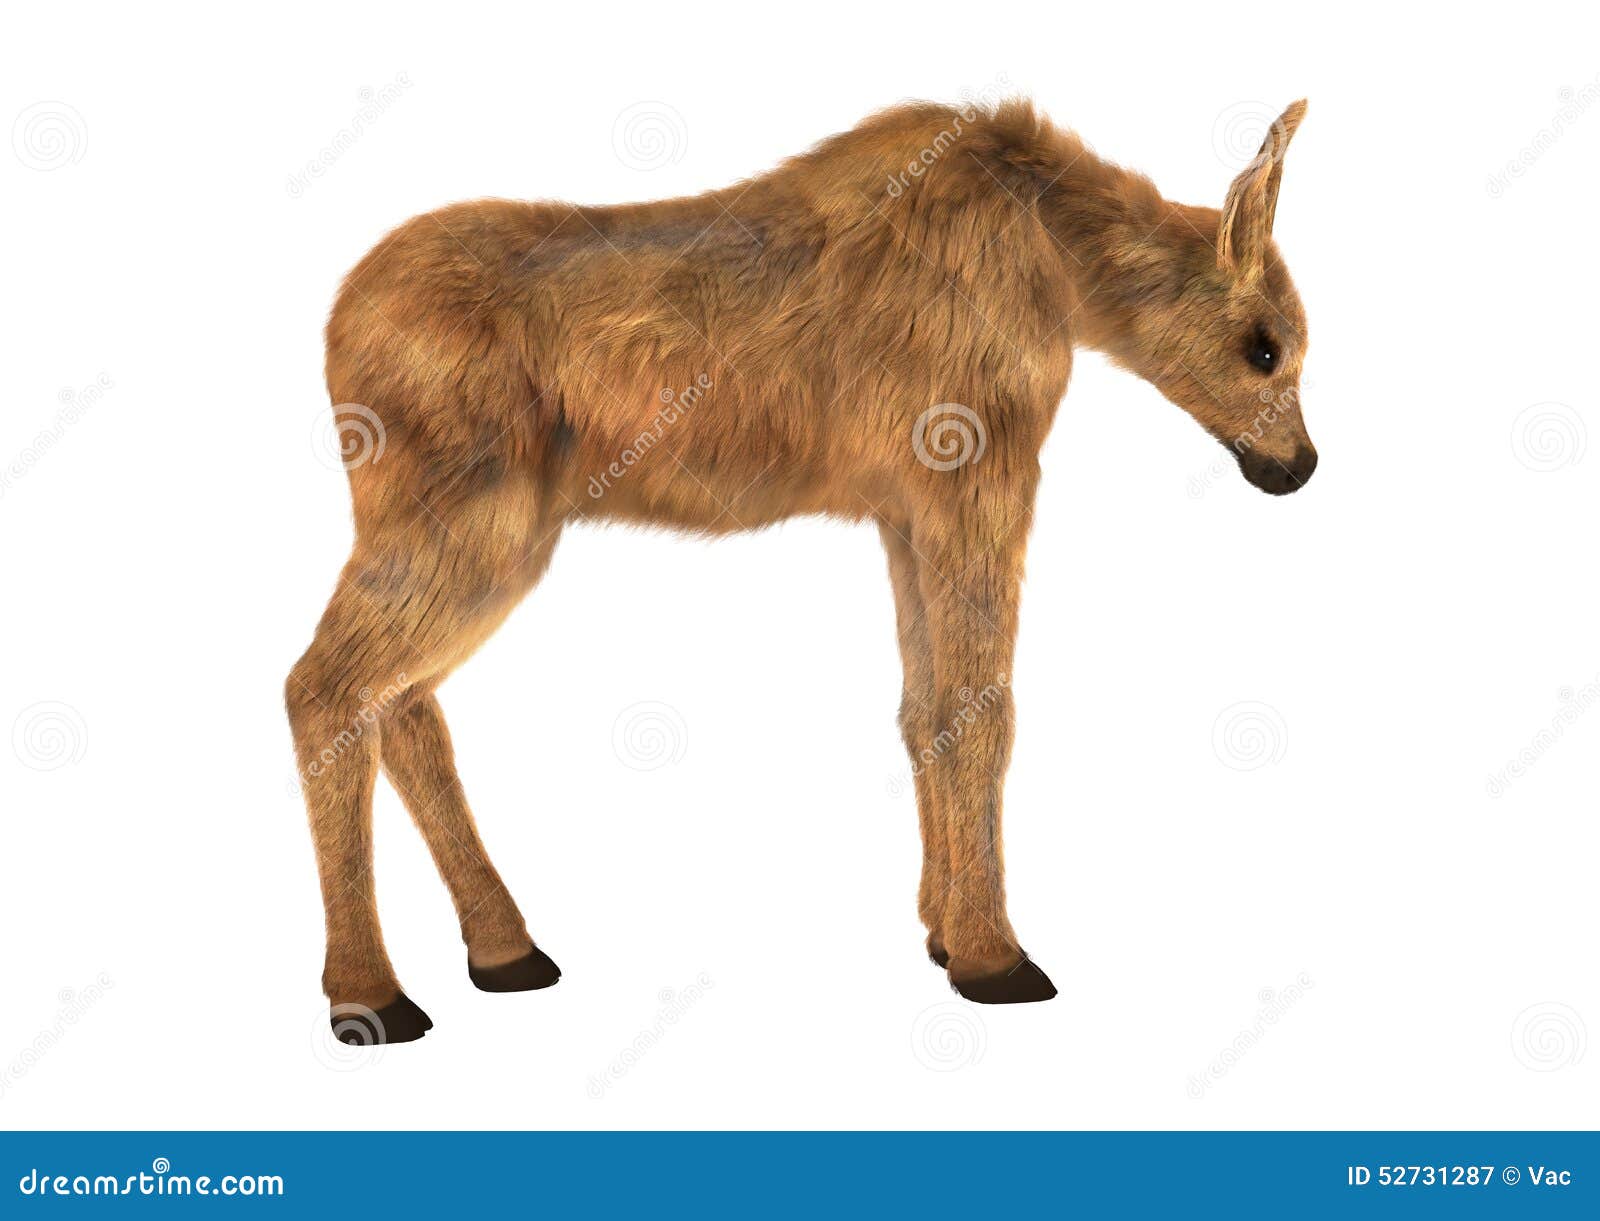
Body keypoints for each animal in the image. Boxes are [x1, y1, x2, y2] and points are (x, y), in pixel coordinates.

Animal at [288, 97, 1315, 1044]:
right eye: (1265, 346)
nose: (1299, 465)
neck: (1067, 276)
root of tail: (332, 330)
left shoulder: (902, 508)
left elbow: (923, 712)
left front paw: (943, 930)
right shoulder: (977, 465)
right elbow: (981, 713)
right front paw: (995, 953)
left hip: (478, 532)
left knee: (401, 699)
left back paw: (503, 948)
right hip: (469, 521)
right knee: (325, 686)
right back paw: (370, 992)